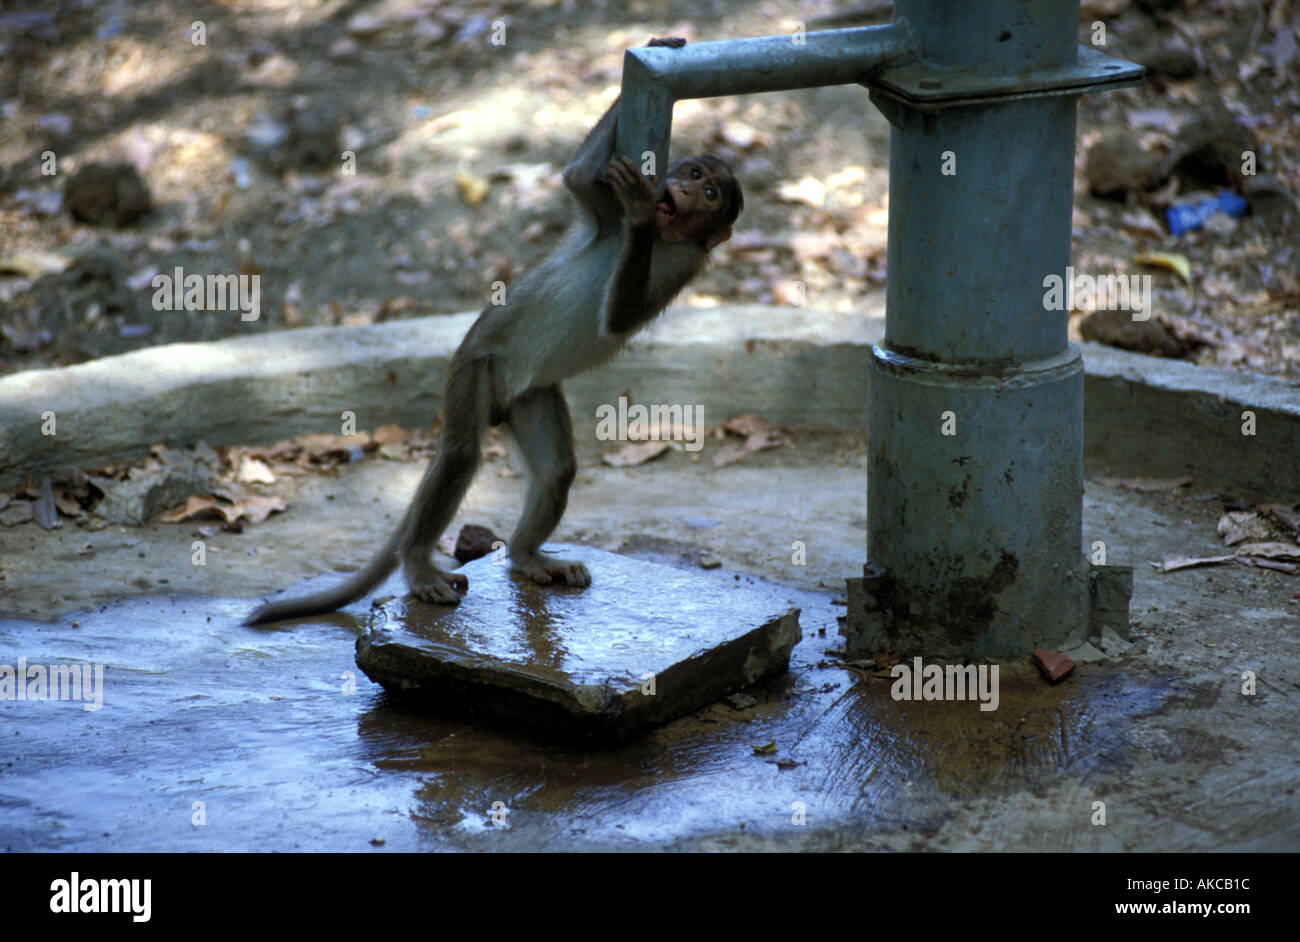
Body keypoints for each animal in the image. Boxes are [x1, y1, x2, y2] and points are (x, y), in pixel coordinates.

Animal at [244, 68, 743, 626]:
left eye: (710, 191)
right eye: (694, 171)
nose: (685, 186)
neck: (666, 238)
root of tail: (501, 399)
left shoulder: (687, 262)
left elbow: (618, 319)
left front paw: (640, 212)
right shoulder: (608, 218)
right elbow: (579, 179)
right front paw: (661, 52)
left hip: (529, 395)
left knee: (553, 469)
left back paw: (524, 556)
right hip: (475, 367)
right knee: (461, 456)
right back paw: (419, 564)